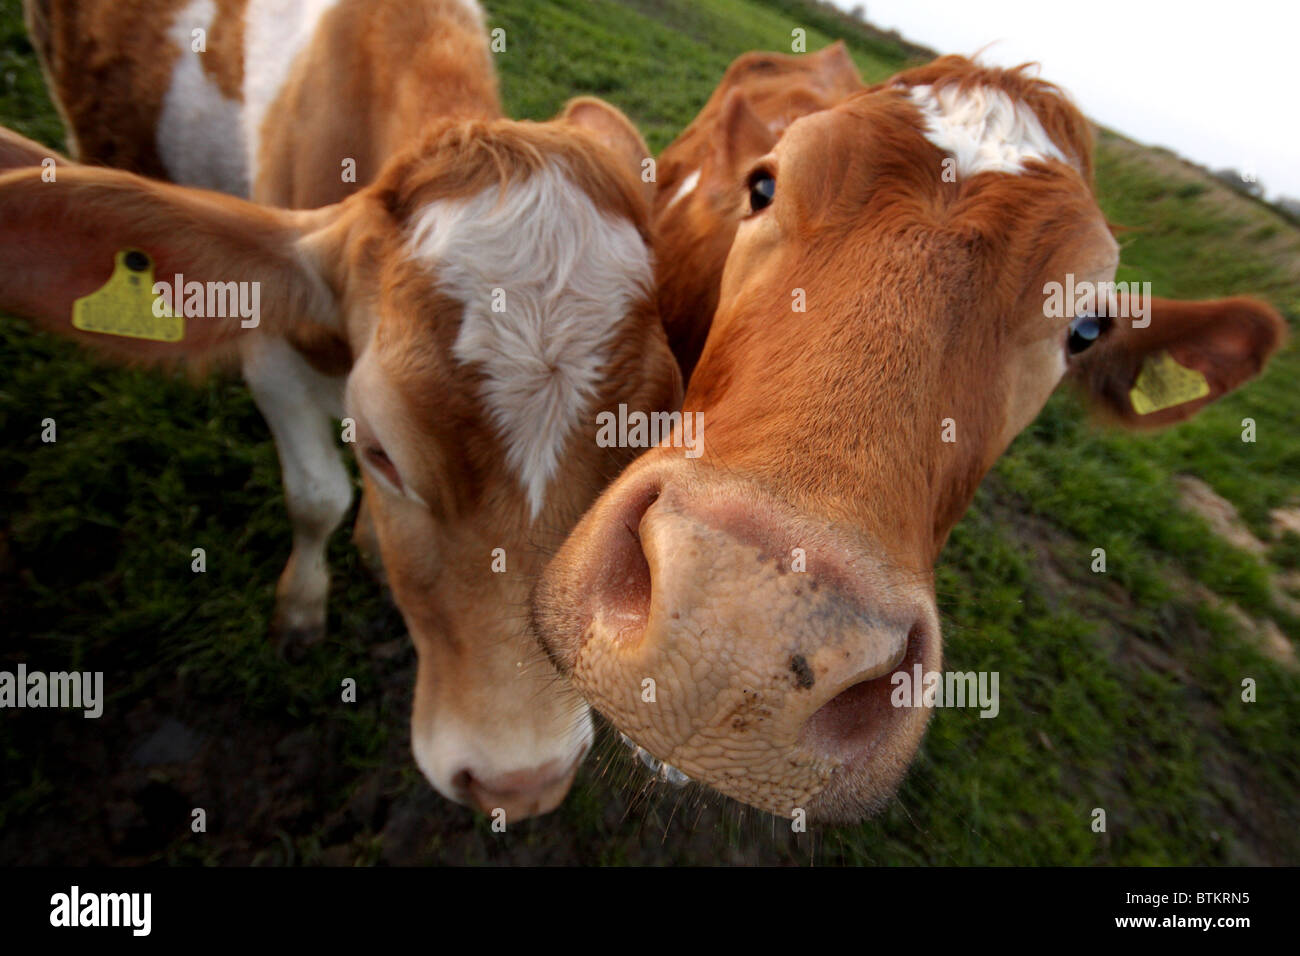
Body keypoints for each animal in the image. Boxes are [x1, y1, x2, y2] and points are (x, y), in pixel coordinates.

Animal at [1, 0, 680, 820]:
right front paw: (300, 609)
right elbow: (318, 495)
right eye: (385, 452)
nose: (522, 782)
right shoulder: (269, 349)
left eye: (643, 439)